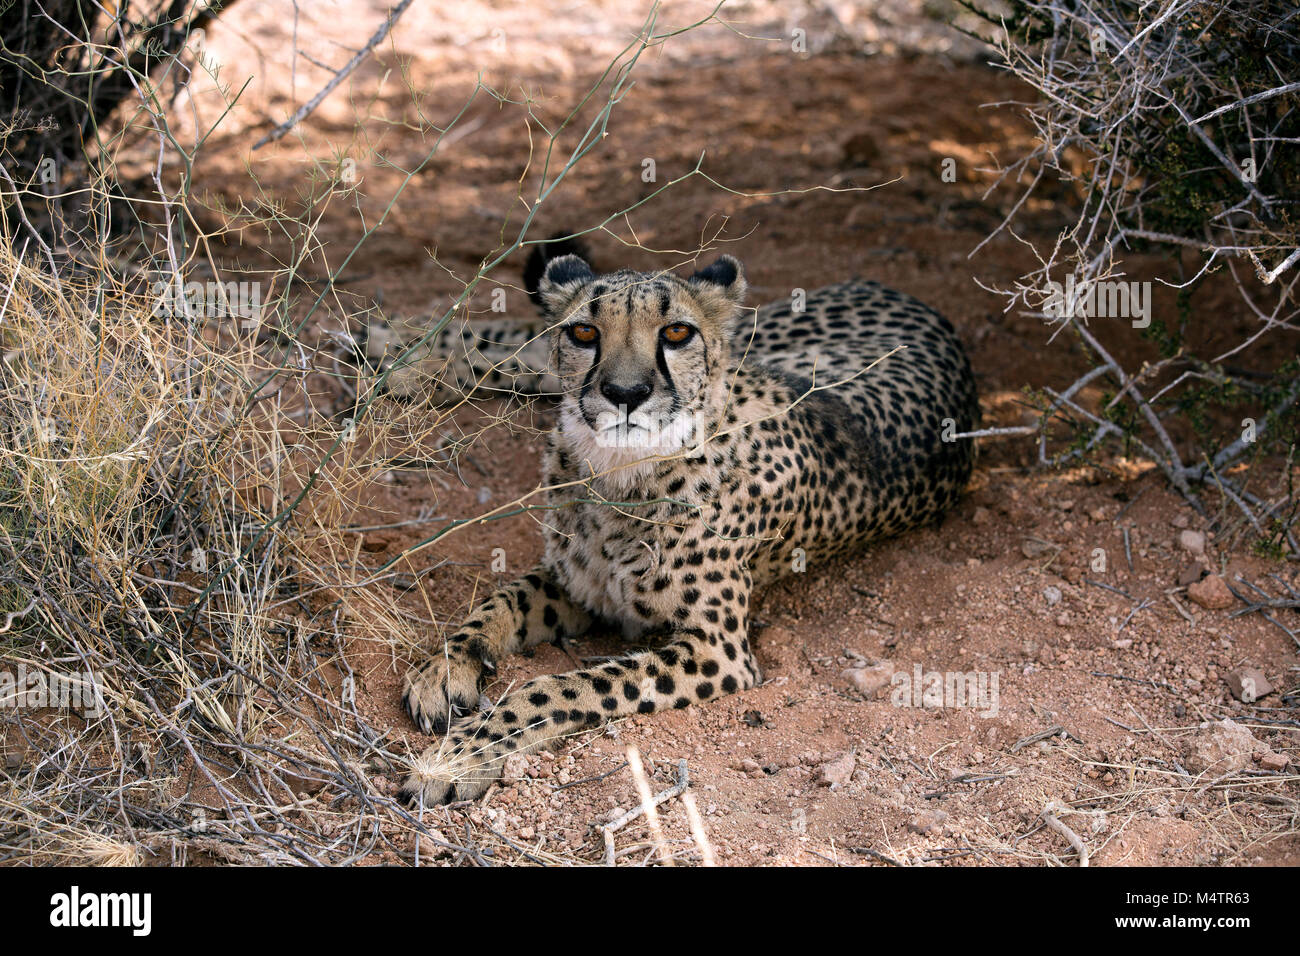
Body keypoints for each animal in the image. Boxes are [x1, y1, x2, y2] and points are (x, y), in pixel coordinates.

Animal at [382, 238, 979, 806]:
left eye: (676, 332)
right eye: (584, 331)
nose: (625, 394)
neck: (622, 472)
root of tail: (899, 291)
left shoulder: (717, 650)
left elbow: (560, 687)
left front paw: (457, 759)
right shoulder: (575, 581)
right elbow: (496, 602)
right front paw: (443, 669)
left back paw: (397, 354)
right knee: (528, 344)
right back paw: (397, 351)